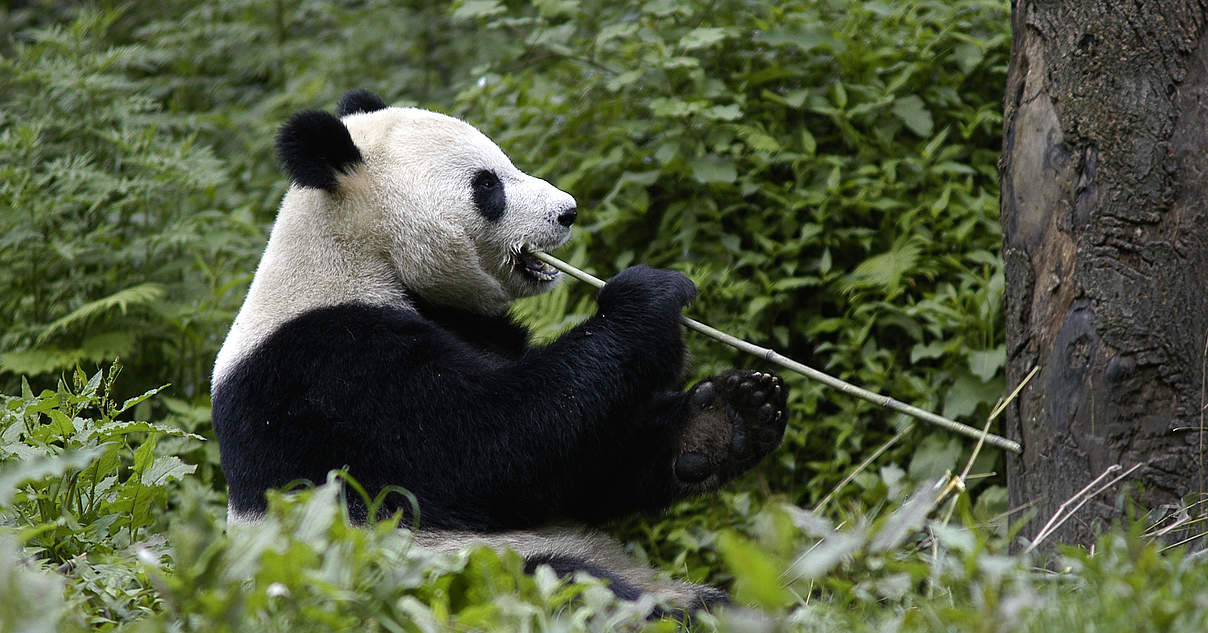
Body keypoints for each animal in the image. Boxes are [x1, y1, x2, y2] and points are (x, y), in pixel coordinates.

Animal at [211, 89, 789, 612]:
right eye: (486, 184)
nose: (568, 212)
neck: (359, 255)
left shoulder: (475, 325)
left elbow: (579, 468)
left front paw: (730, 415)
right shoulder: (328, 370)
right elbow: (486, 446)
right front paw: (648, 297)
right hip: (441, 571)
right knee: (564, 586)